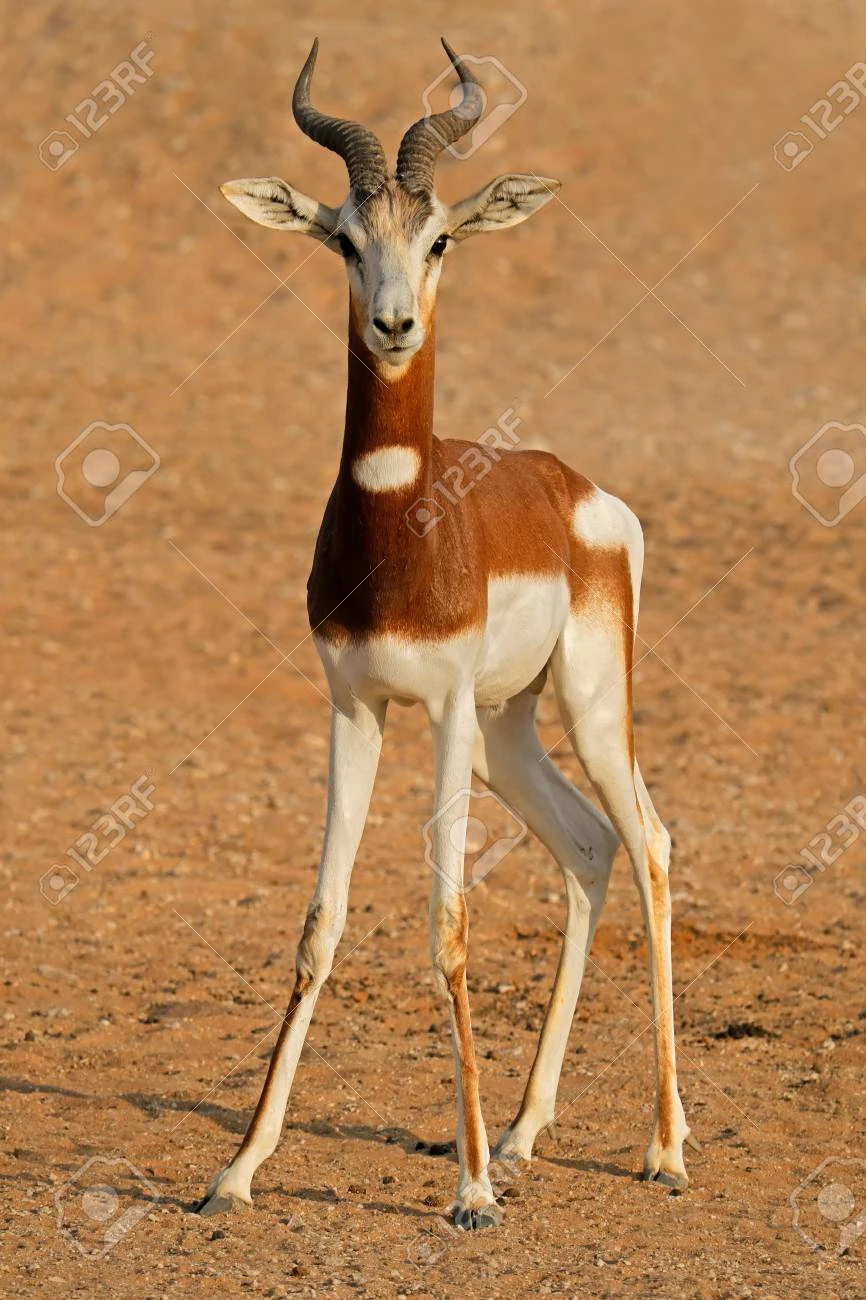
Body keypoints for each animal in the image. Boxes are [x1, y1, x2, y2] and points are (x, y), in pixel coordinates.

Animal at [198, 38, 690, 1229]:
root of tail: (577, 488)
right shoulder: (356, 707)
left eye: (441, 238)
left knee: (649, 842)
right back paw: (520, 1130)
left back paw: (660, 1148)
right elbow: (321, 924)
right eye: (343, 236)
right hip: (510, 732)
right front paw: (238, 1167)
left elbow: (448, 921)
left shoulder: (445, 706)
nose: (393, 325)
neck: (402, 521)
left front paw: (467, 1194)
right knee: (588, 845)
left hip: (584, 707)